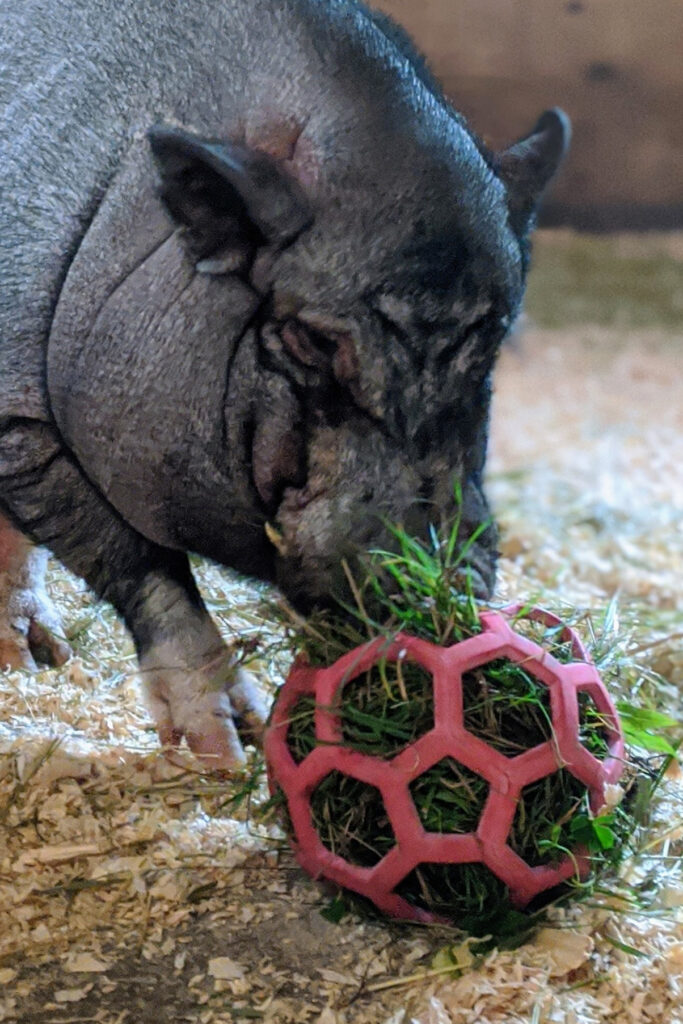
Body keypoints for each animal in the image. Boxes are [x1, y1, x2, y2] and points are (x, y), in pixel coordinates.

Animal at [0, 0, 569, 768]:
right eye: (312, 340)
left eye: (493, 344)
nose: (432, 585)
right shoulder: (22, 419)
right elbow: (137, 559)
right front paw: (225, 748)